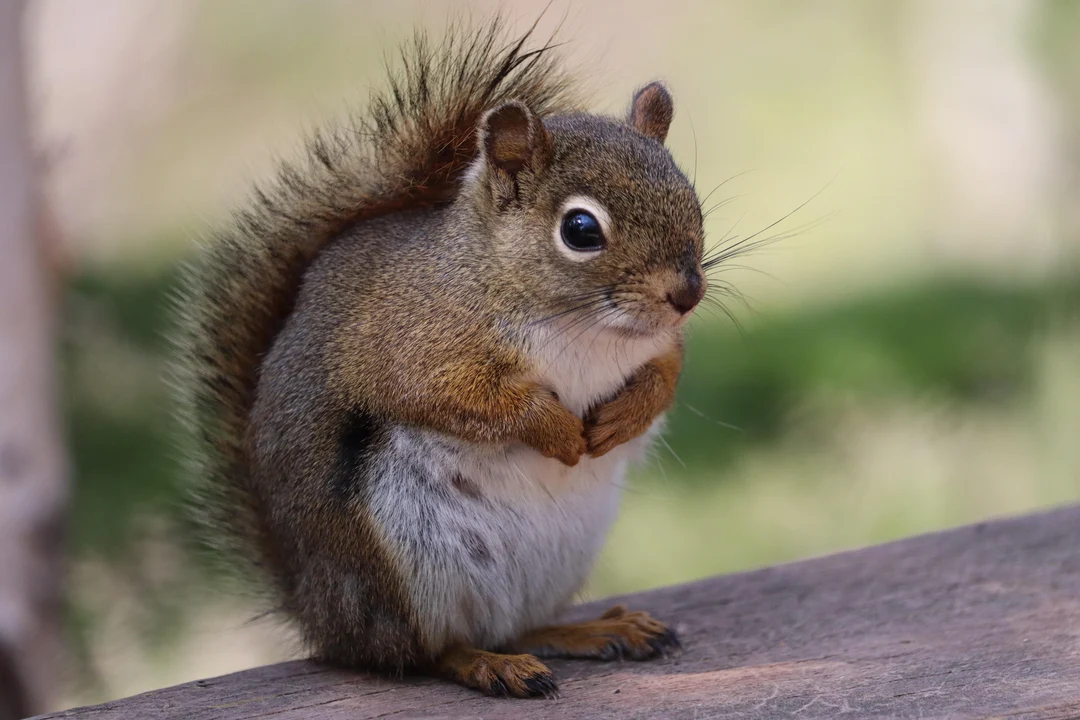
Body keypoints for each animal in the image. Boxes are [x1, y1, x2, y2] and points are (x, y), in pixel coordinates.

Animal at [175, 17, 706, 698]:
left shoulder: (660, 342)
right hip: (404, 566)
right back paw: (489, 665)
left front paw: (623, 417)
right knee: (428, 651)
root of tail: (321, 618)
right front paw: (559, 431)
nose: (687, 293)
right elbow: (462, 398)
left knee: (515, 625)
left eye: (690, 197)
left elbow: (664, 374)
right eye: (581, 230)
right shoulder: (415, 344)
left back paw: (593, 629)